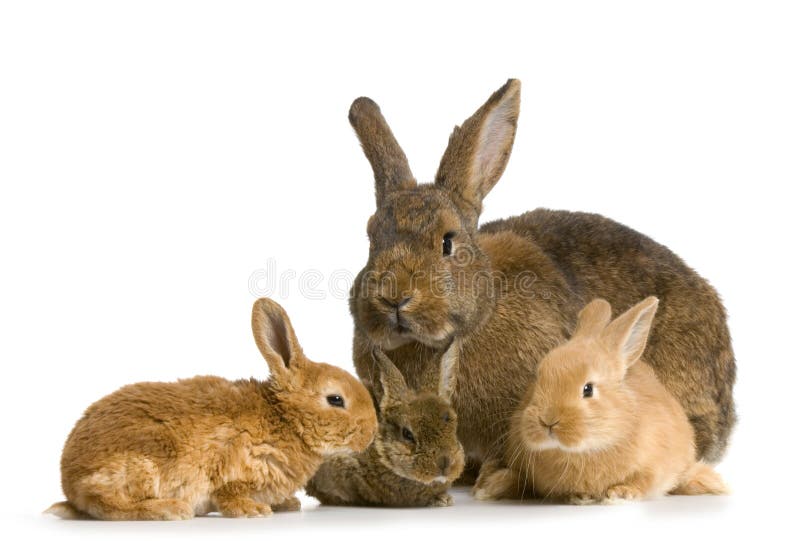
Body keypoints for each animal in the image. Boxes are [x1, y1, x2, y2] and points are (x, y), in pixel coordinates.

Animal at [45, 298, 378, 520]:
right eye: (336, 400)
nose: (372, 434)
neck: (285, 420)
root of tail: (69, 479)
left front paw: (286, 505)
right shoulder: (234, 471)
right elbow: (228, 494)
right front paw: (254, 510)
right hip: (141, 464)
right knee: (108, 505)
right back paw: (169, 509)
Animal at [472, 297, 728, 503]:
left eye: (588, 389)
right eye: (537, 376)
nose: (548, 420)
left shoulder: (658, 463)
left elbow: (644, 482)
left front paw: (620, 494)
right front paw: (579, 496)